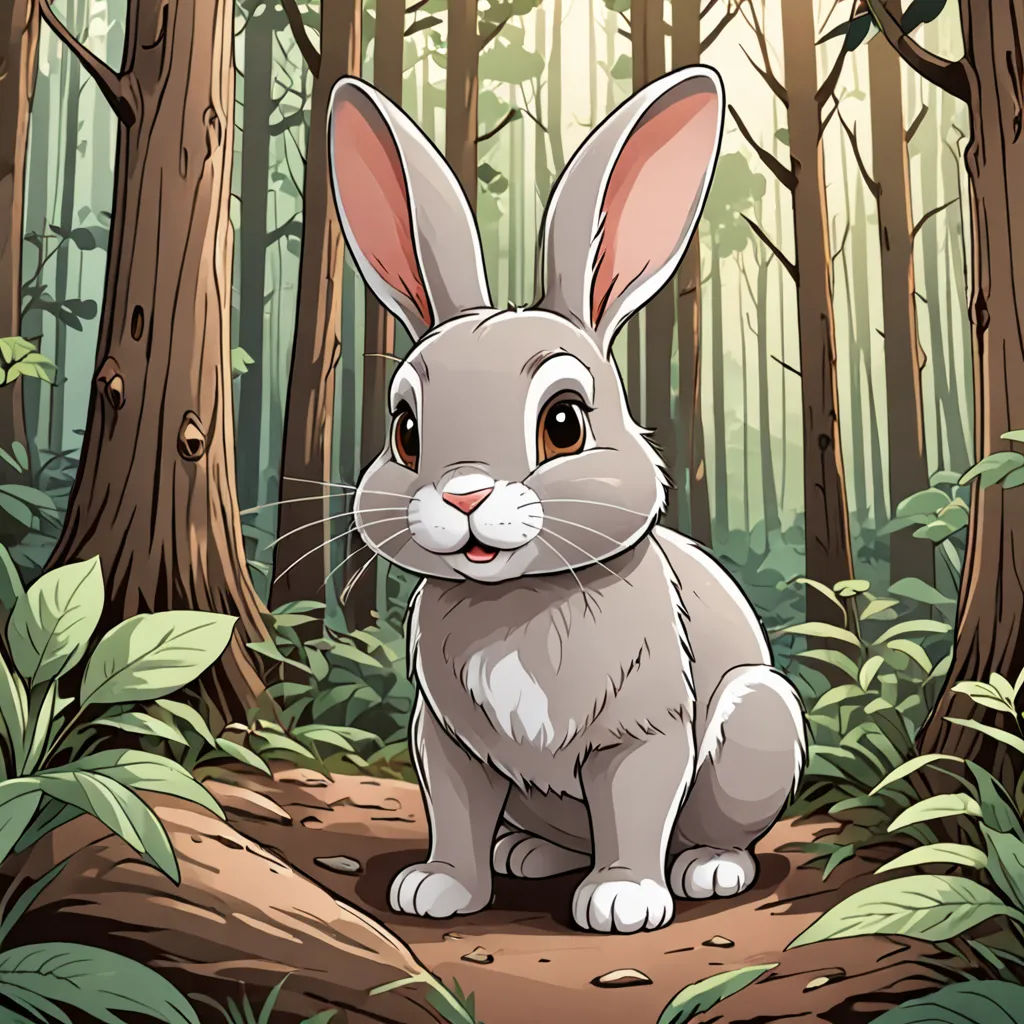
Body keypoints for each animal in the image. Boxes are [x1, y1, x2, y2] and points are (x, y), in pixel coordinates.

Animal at [326, 65, 806, 934]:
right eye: (406, 431)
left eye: (564, 423)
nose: (465, 493)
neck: (519, 600)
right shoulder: (446, 740)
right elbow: (455, 812)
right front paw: (436, 890)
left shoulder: (644, 731)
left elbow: (634, 808)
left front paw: (622, 902)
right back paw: (527, 856)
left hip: (759, 716)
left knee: (720, 828)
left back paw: (708, 871)